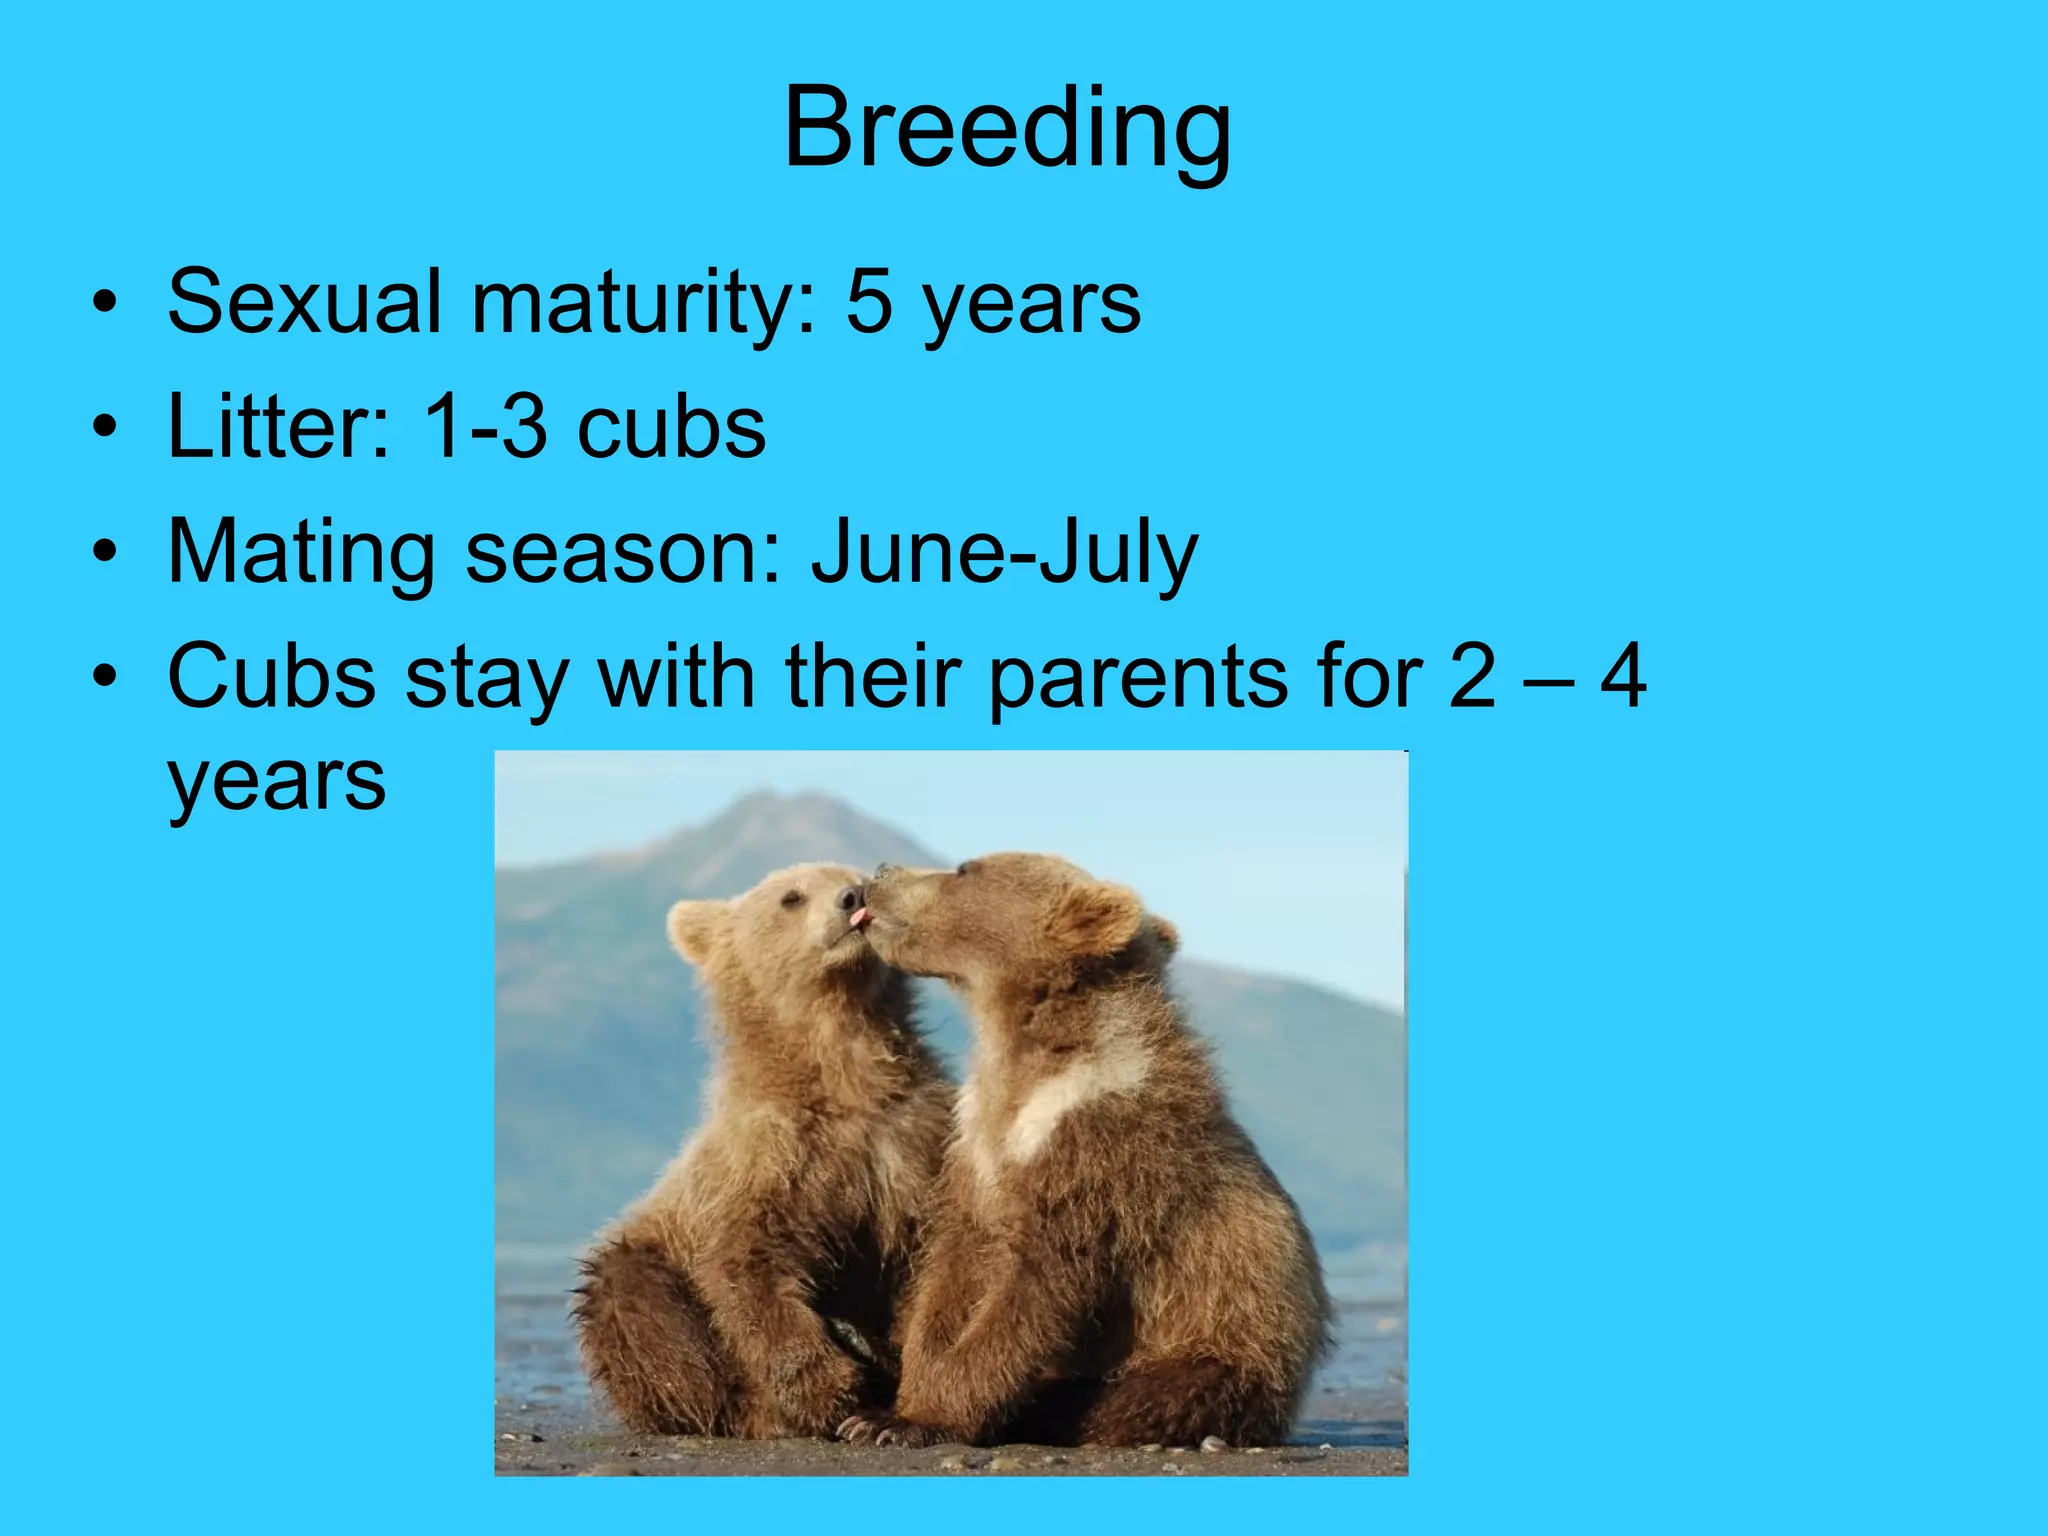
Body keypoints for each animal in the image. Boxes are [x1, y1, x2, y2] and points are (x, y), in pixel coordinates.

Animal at [571, 861, 955, 1438]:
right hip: (648, 1259)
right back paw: (761, 1407)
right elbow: (750, 1265)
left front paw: (891, 1380)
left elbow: (925, 1250)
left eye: (860, 875)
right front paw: (826, 1391)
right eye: (790, 897)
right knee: (636, 1310)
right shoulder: (766, 1158)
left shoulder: (910, 1140)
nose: (852, 897)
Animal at [837, 853, 1334, 1449]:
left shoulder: (1095, 1155)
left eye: (964, 869)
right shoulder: (975, 1151)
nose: (880, 871)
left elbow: (1034, 1292)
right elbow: (950, 1273)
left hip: (1223, 1344)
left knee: (1138, 1399)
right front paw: (894, 1400)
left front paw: (907, 1420)